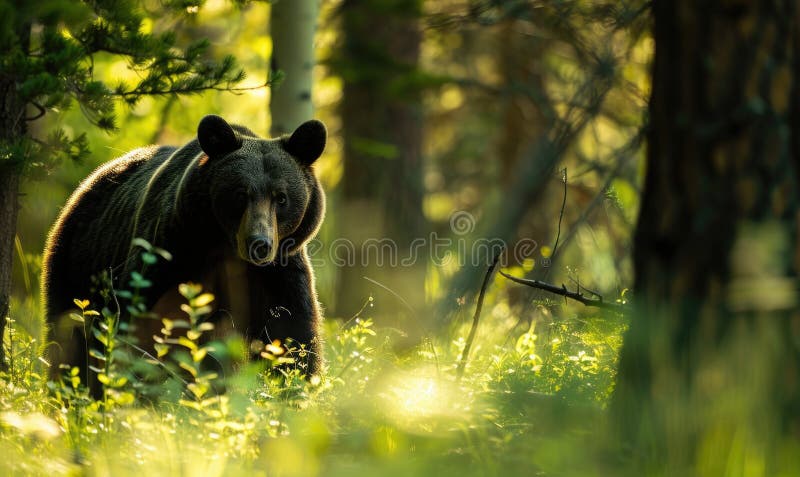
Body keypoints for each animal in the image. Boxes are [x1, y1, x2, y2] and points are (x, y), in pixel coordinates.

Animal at [41, 114, 326, 391]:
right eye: (240, 194)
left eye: (281, 197)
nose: (260, 243)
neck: (227, 250)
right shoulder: (171, 252)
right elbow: (142, 325)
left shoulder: (279, 271)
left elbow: (292, 337)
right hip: (77, 263)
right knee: (70, 338)